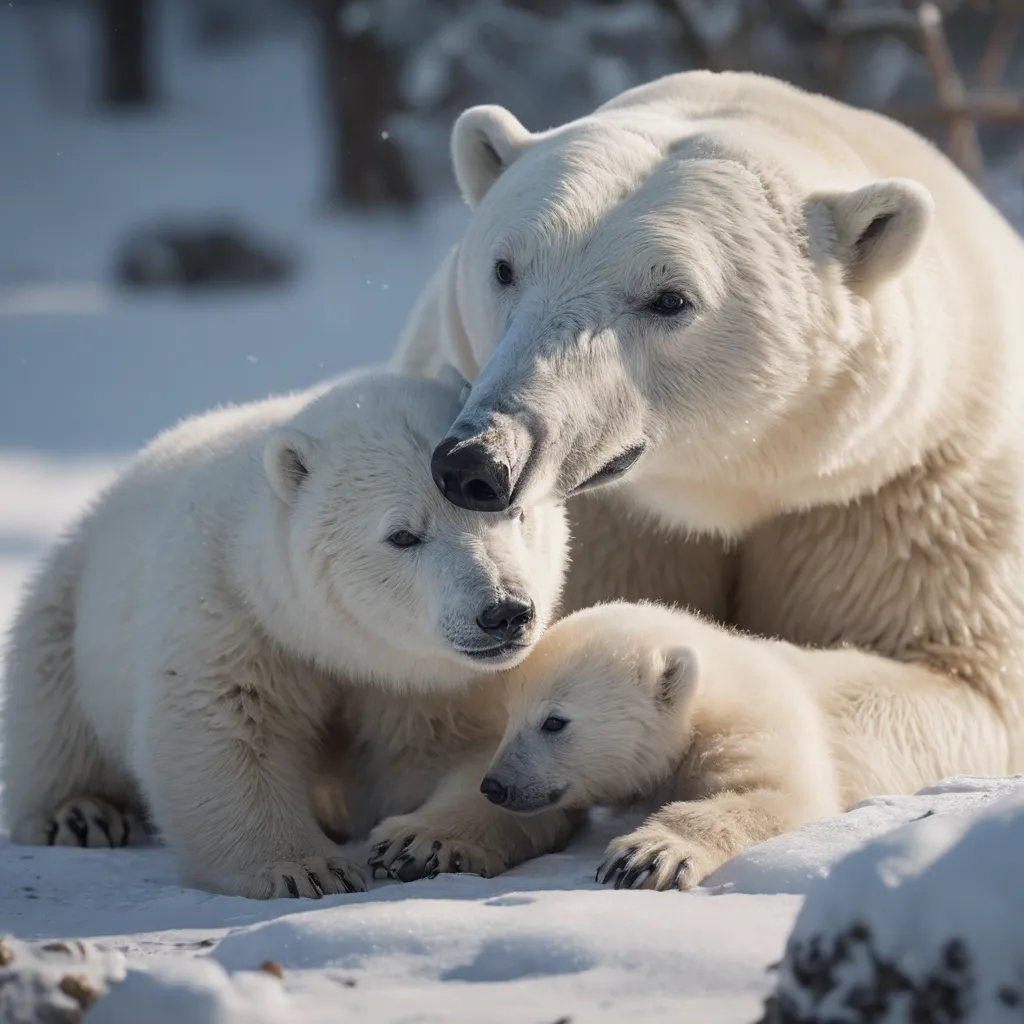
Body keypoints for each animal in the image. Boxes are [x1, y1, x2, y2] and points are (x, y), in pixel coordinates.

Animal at [0, 370, 575, 898]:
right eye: (403, 535)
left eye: (511, 510)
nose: (504, 612)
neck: (341, 644)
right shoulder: (234, 607)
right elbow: (222, 725)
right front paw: (304, 869)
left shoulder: (436, 681)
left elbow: (476, 748)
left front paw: (425, 844)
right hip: (69, 596)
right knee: (49, 703)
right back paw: (78, 812)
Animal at [384, 70, 1024, 861]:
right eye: (504, 268)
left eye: (669, 298)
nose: (478, 464)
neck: (720, 487)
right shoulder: (608, 519)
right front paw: (426, 835)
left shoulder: (903, 488)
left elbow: (953, 679)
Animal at [481, 601, 1000, 890]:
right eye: (508, 715)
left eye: (554, 721)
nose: (495, 786)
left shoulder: (761, 724)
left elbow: (776, 796)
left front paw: (646, 857)